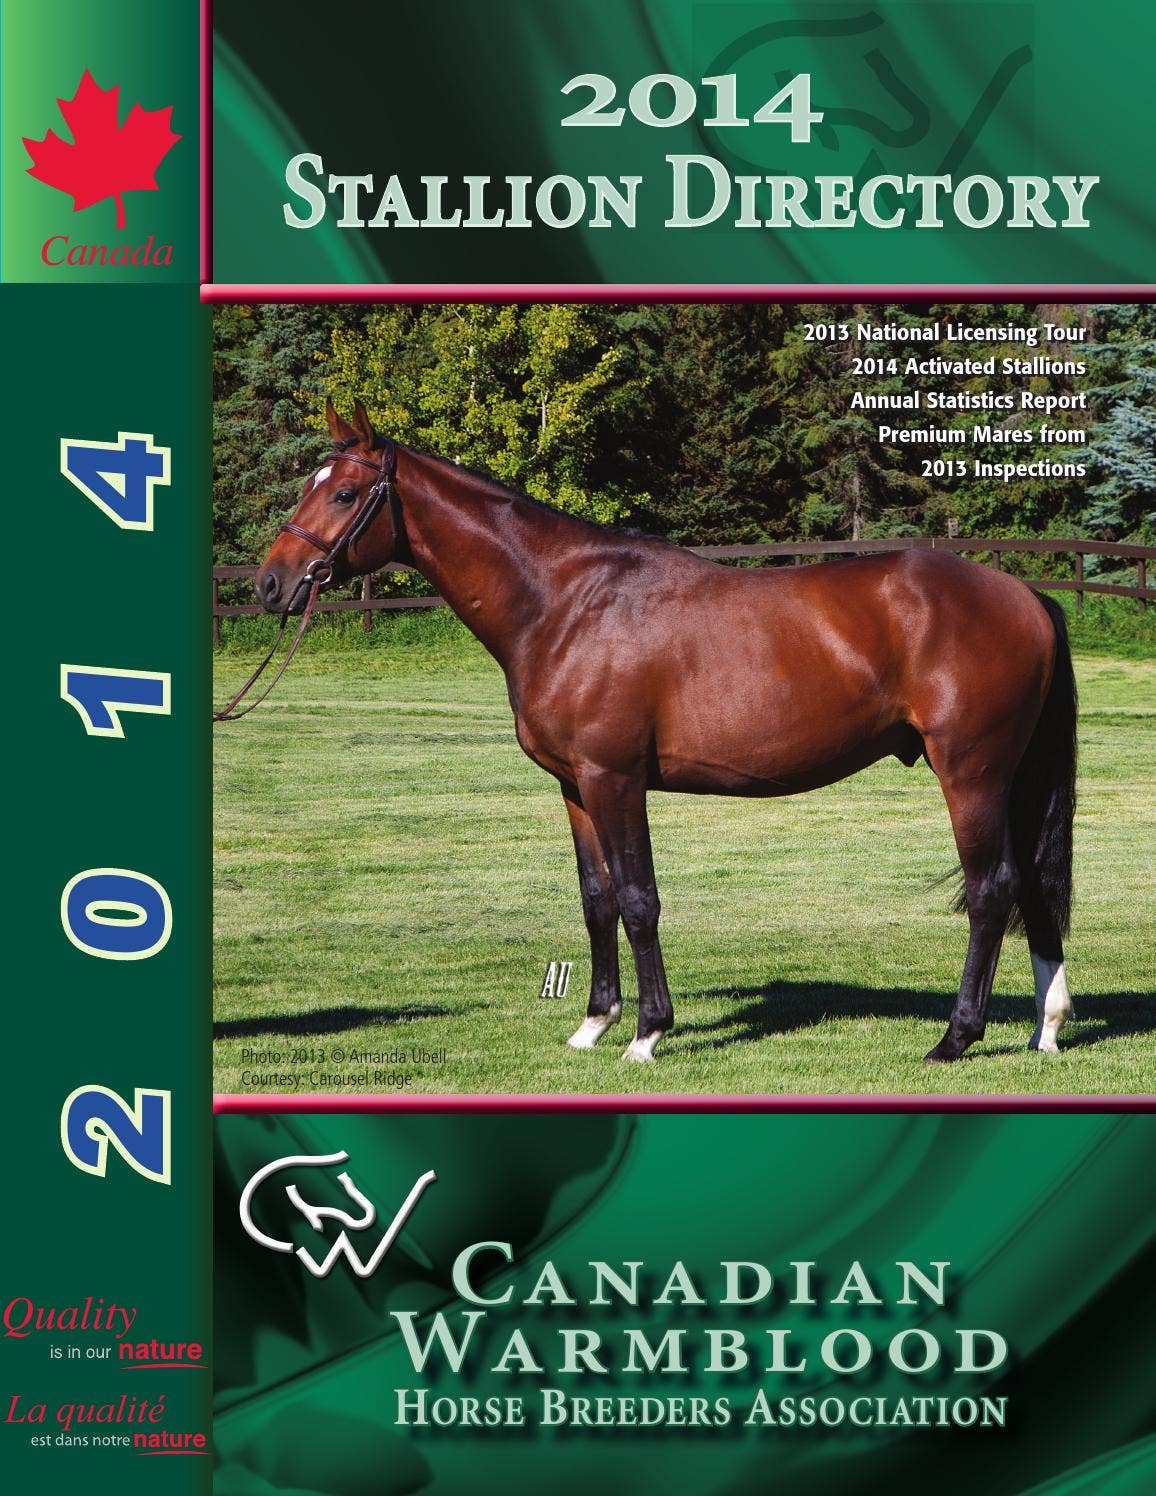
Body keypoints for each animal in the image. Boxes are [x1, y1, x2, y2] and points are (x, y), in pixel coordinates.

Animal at [250, 400, 1077, 1065]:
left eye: (345, 492)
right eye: (310, 484)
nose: (269, 584)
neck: (564, 602)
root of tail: (1026, 596)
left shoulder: (615, 778)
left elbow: (639, 897)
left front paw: (648, 1034)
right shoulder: (574, 785)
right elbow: (597, 899)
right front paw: (593, 1024)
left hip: (970, 773)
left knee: (991, 890)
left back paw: (954, 1038)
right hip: (1014, 777)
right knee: (1035, 887)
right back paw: (1046, 1027)